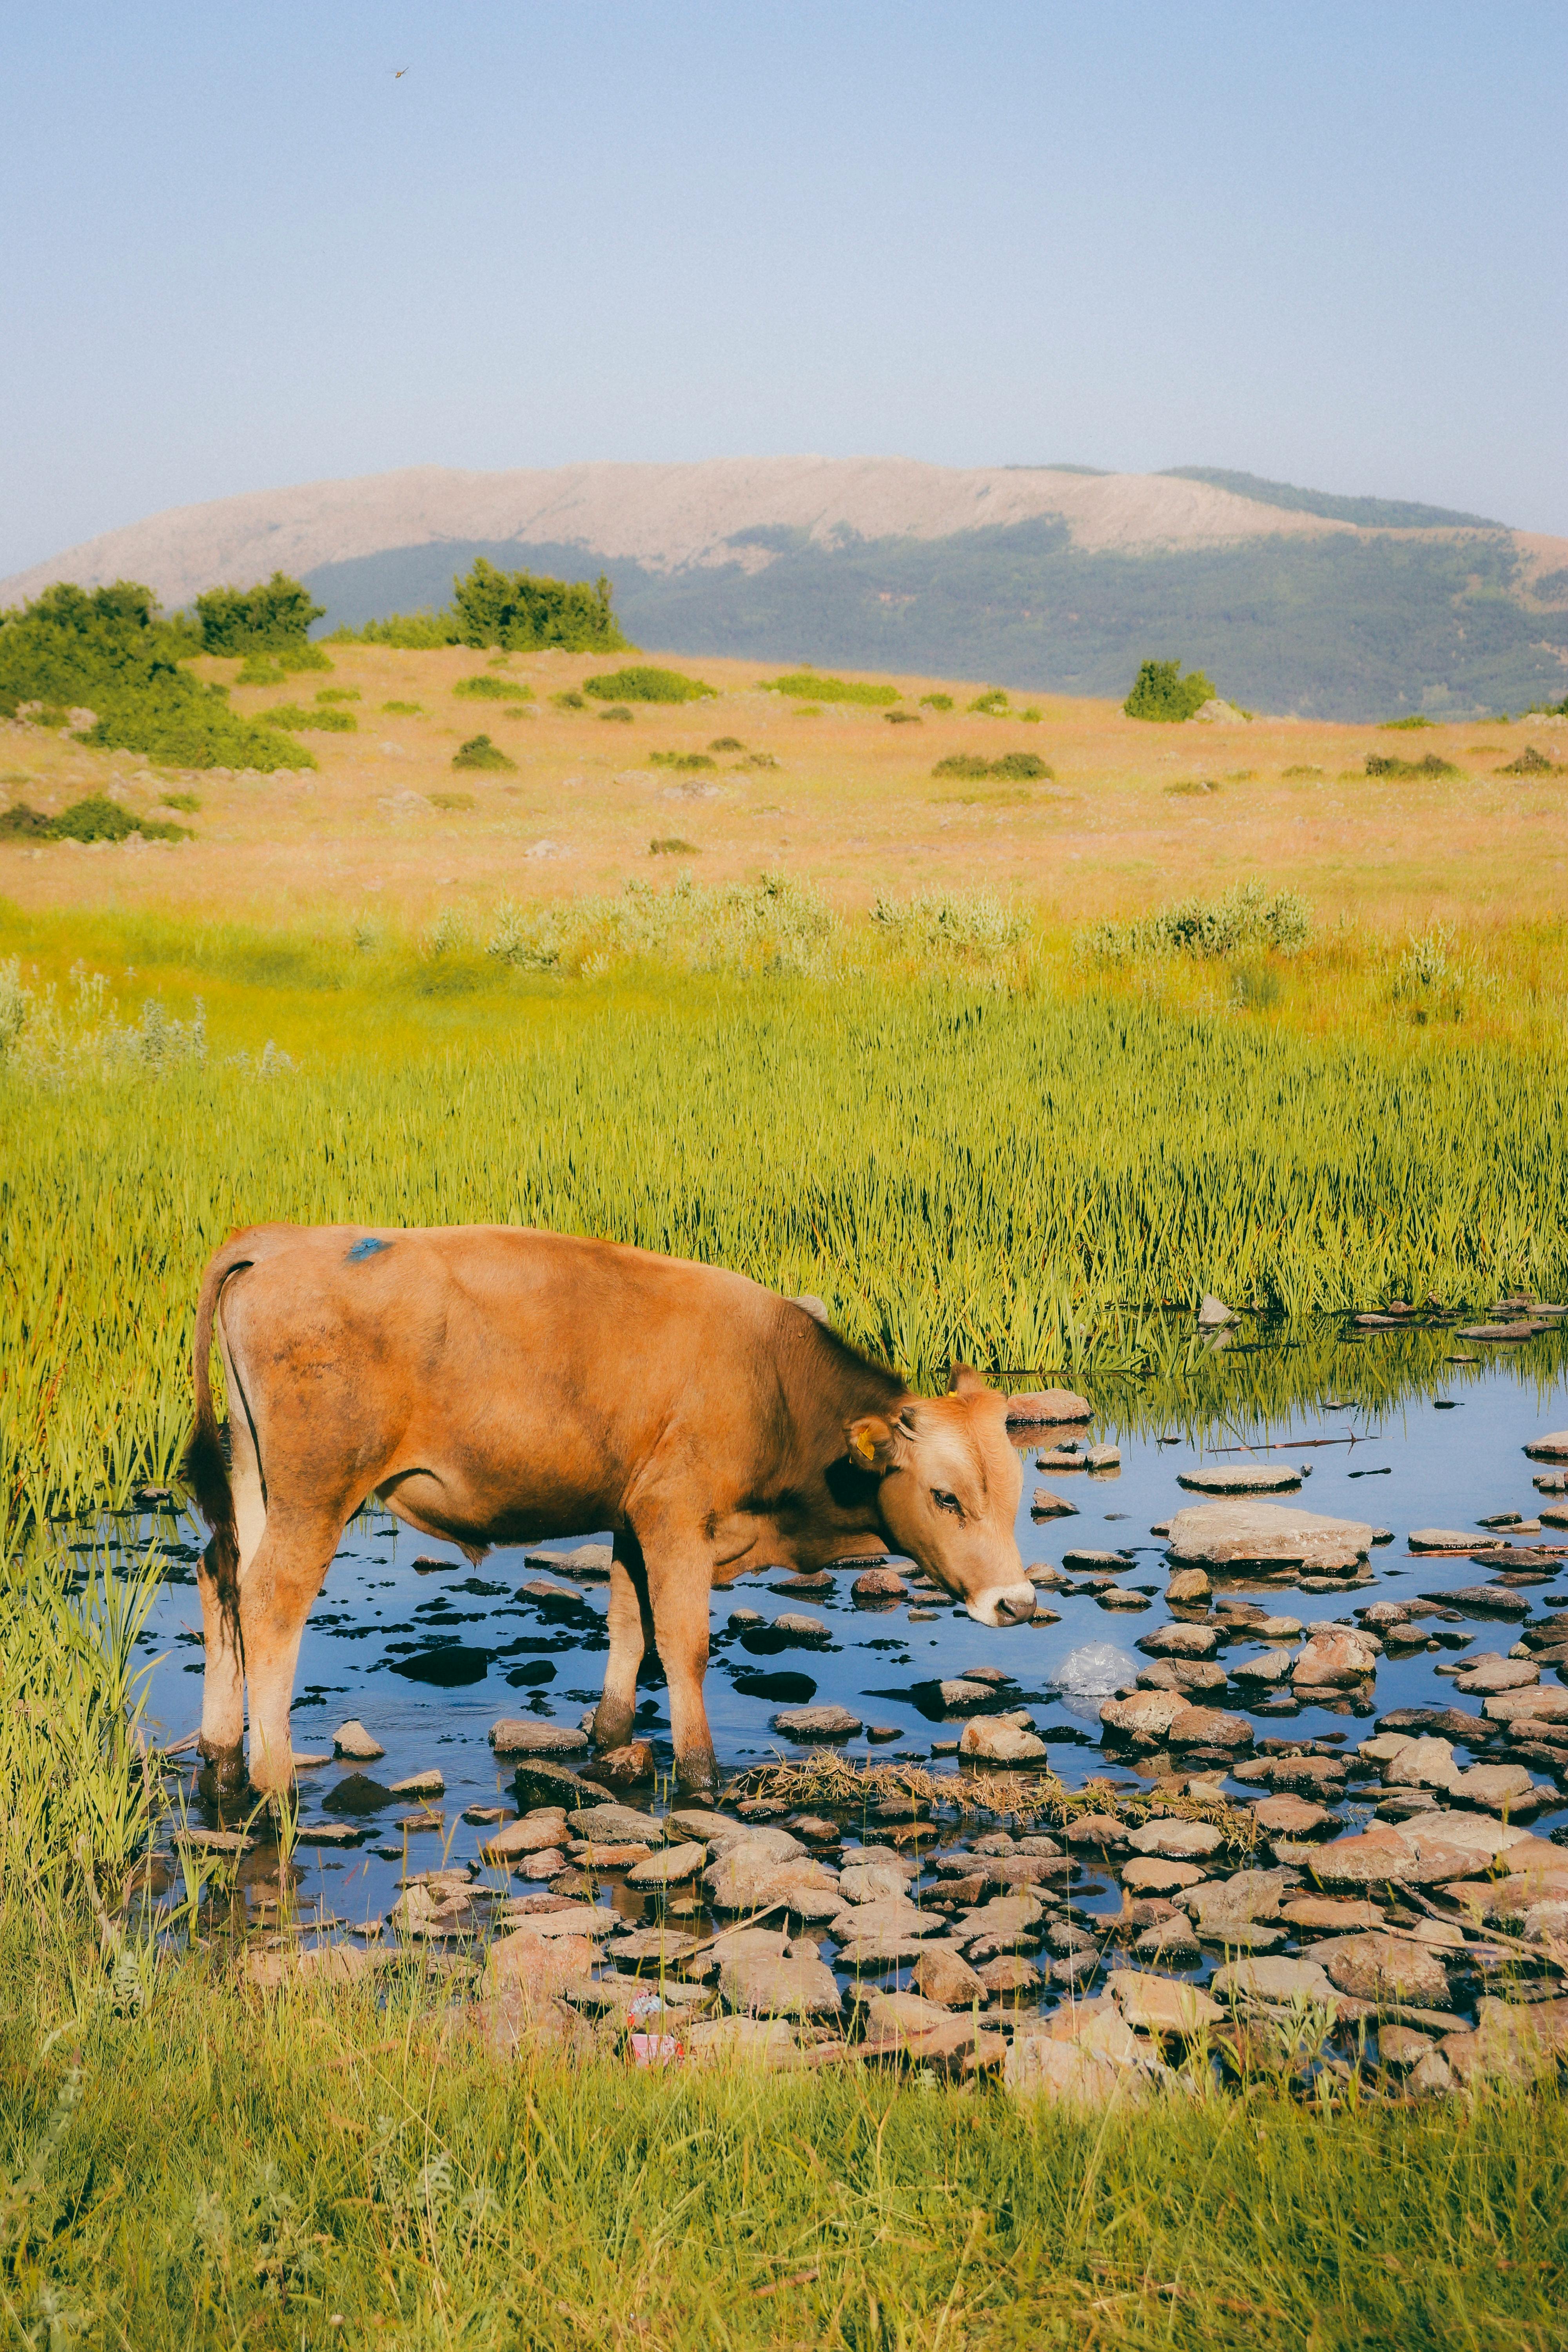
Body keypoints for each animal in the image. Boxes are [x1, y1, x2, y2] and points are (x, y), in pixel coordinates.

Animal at [184, 1222, 1035, 1794]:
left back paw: (222, 1753)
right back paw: (273, 1779)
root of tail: (286, 1240)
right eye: (945, 1496)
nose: (1018, 1603)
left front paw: (611, 1738)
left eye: (1013, 1494)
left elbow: (630, 1630)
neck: (770, 1381)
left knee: (220, 1576)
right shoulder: (676, 1517)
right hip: (318, 1492)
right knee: (272, 1602)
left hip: (256, 1481)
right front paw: (700, 1774)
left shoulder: (632, 1517)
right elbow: (684, 1645)